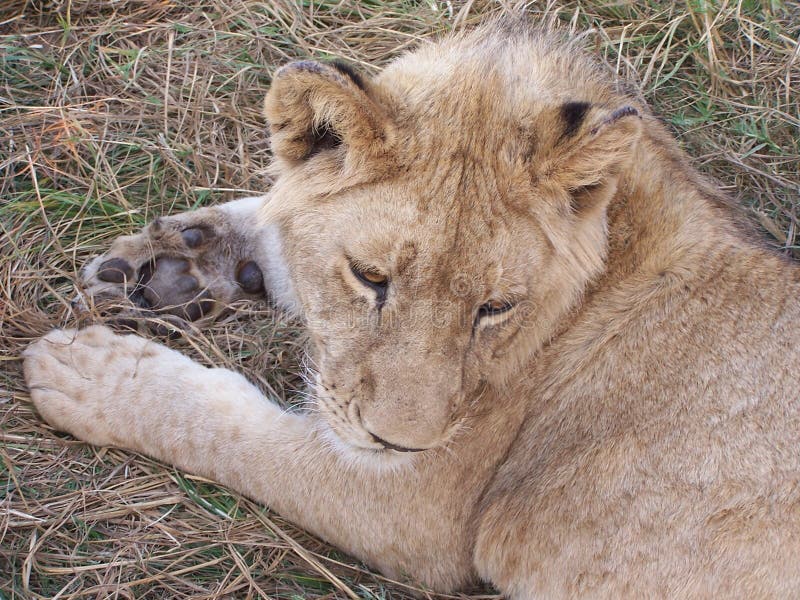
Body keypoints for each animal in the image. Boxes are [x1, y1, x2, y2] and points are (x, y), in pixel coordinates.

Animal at [22, 21, 800, 598]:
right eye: (370, 277)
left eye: (495, 306)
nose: (398, 442)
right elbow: (275, 218)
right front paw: (165, 267)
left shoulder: (414, 511)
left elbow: (221, 426)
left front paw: (90, 373)